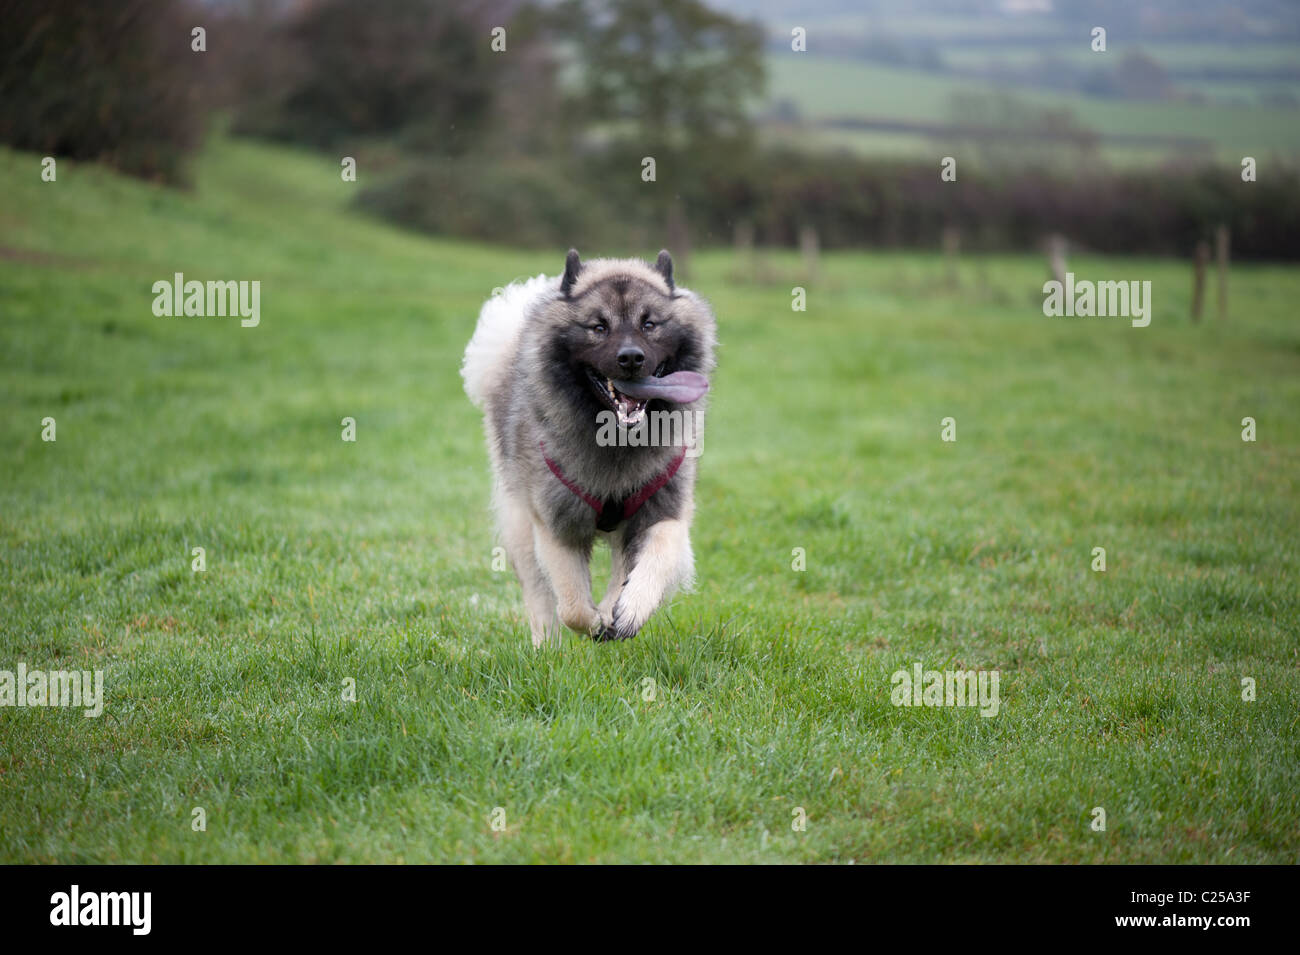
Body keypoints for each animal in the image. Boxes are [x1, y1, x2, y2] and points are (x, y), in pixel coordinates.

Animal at [462, 249, 717, 646]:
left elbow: (655, 558)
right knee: (539, 595)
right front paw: (595, 622)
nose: (631, 358)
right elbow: (572, 605)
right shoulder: (556, 525)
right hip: (520, 524)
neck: (615, 438)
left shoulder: (664, 512)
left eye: (649, 324)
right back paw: (546, 649)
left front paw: (627, 609)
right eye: (599, 327)